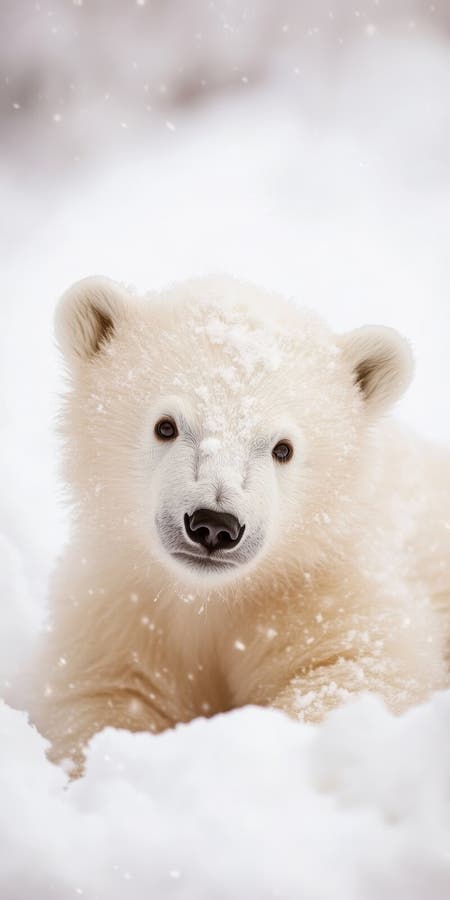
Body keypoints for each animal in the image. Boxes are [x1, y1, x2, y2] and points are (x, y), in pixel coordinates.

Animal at [28, 275, 450, 776]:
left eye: (283, 448)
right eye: (166, 425)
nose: (213, 525)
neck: (215, 597)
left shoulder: (327, 585)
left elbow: (355, 670)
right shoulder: (121, 604)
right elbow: (106, 694)